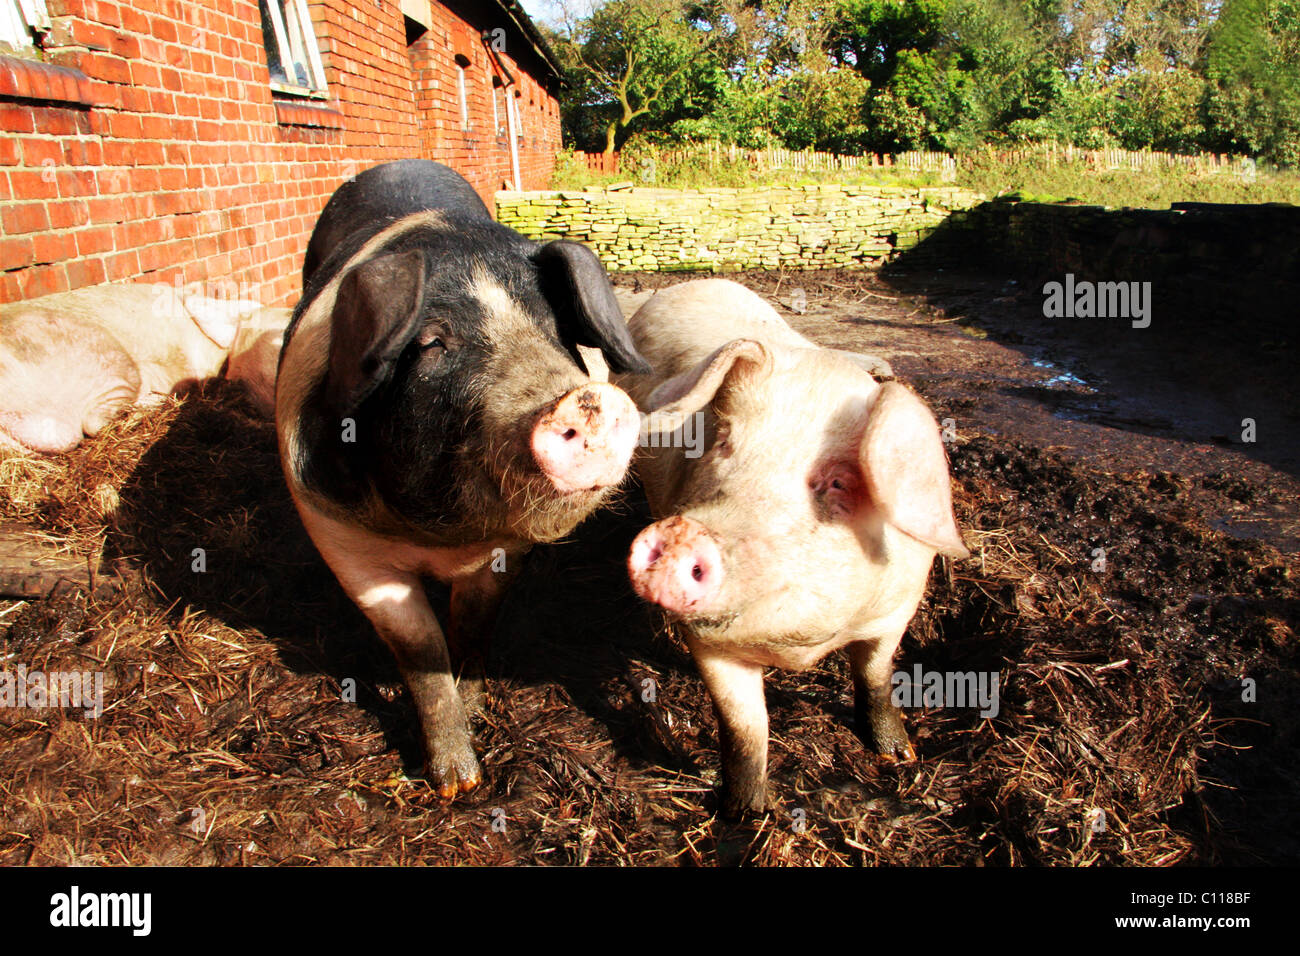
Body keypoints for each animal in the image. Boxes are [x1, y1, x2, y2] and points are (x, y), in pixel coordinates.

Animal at [276, 159, 651, 798]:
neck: (442, 537)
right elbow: (420, 649)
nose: (586, 400)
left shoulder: (507, 551)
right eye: (430, 343)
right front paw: (456, 784)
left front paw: (475, 711)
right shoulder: (340, 540)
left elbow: (473, 624)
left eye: (557, 330)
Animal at [619, 278, 968, 817]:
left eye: (840, 481)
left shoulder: (897, 609)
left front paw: (898, 756)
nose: (684, 535)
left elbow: (875, 677)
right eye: (724, 441)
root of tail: (688, 283)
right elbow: (744, 732)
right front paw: (745, 817)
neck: (801, 646)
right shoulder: (710, 645)